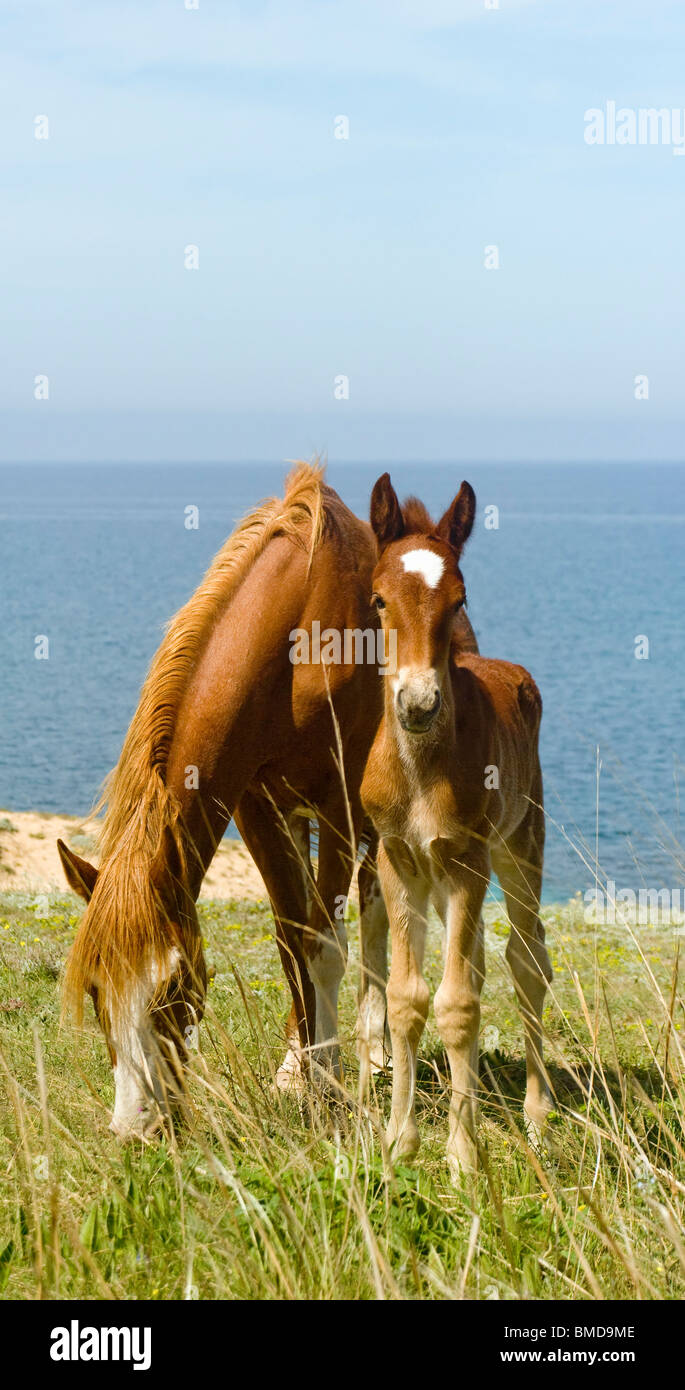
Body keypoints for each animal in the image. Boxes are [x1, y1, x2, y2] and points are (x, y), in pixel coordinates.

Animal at [57, 459, 480, 1140]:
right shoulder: (256, 807)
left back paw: (373, 1050)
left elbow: (325, 944)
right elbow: (291, 940)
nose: (136, 1128)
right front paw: (297, 1071)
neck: (298, 640)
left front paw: (329, 1082)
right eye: (97, 987)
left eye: (173, 983)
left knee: (372, 912)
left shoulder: (338, 807)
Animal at [360, 473, 554, 1179]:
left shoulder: (468, 858)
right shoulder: (396, 858)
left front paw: (464, 1156)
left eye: (459, 598)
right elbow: (407, 997)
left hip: (521, 846)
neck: (421, 770)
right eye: (379, 599)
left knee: (527, 959)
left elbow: (459, 1002)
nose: (418, 704)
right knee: (477, 965)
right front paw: (398, 1143)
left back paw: (538, 1112)